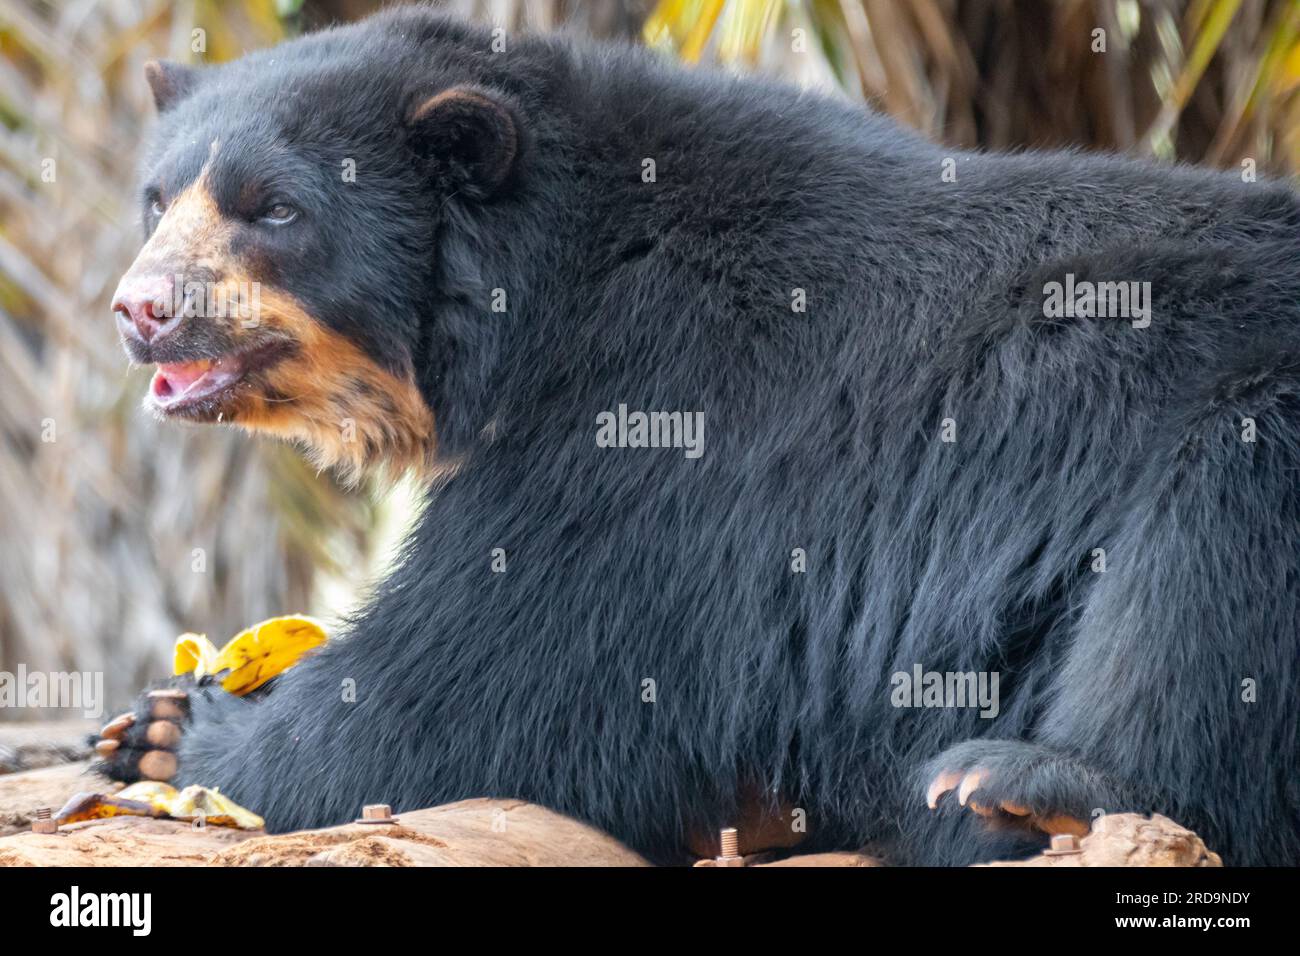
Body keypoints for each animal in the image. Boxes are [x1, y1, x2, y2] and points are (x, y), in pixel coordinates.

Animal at [99, 5, 1300, 866]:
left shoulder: (659, 420)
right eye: (157, 199)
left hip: (1253, 418)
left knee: (1215, 544)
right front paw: (148, 717)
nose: (140, 308)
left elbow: (489, 670)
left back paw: (1030, 788)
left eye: (273, 210)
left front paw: (181, 733)